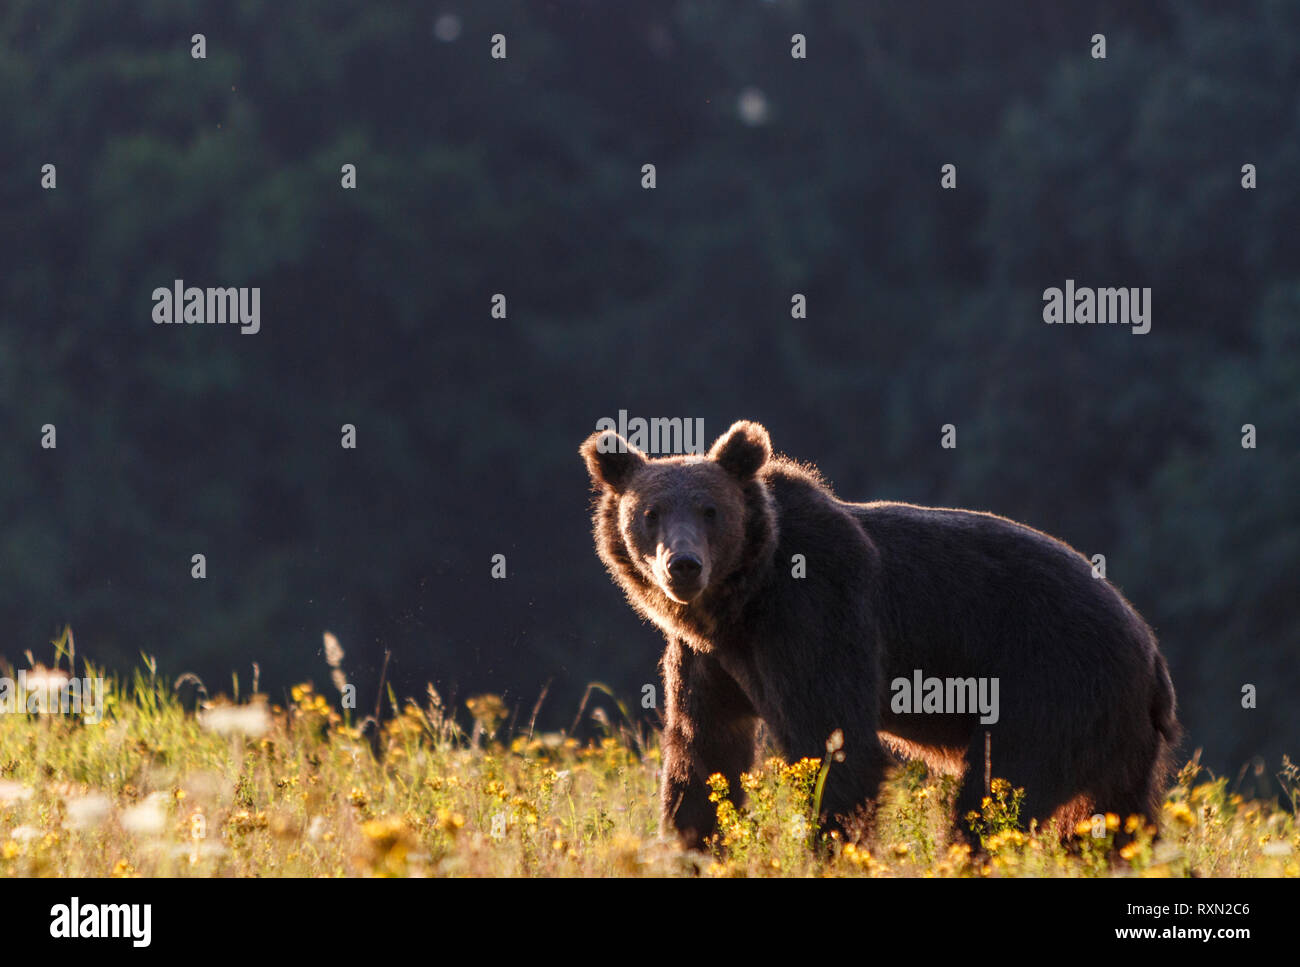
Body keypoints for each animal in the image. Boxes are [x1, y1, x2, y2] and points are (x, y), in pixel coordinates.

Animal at [580, 419, 1180, 851]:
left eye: (710, 510)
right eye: (651, 513)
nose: (683, 566)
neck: (742, 603)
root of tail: (1151, 650)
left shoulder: (815, 614)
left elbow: (837, 743)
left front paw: (832, 848)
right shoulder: (709, 659)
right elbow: (701, 755)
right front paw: (692, 842)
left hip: (1051, 684)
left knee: (998, 792)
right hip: (1118, 739)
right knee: (1115, 821)